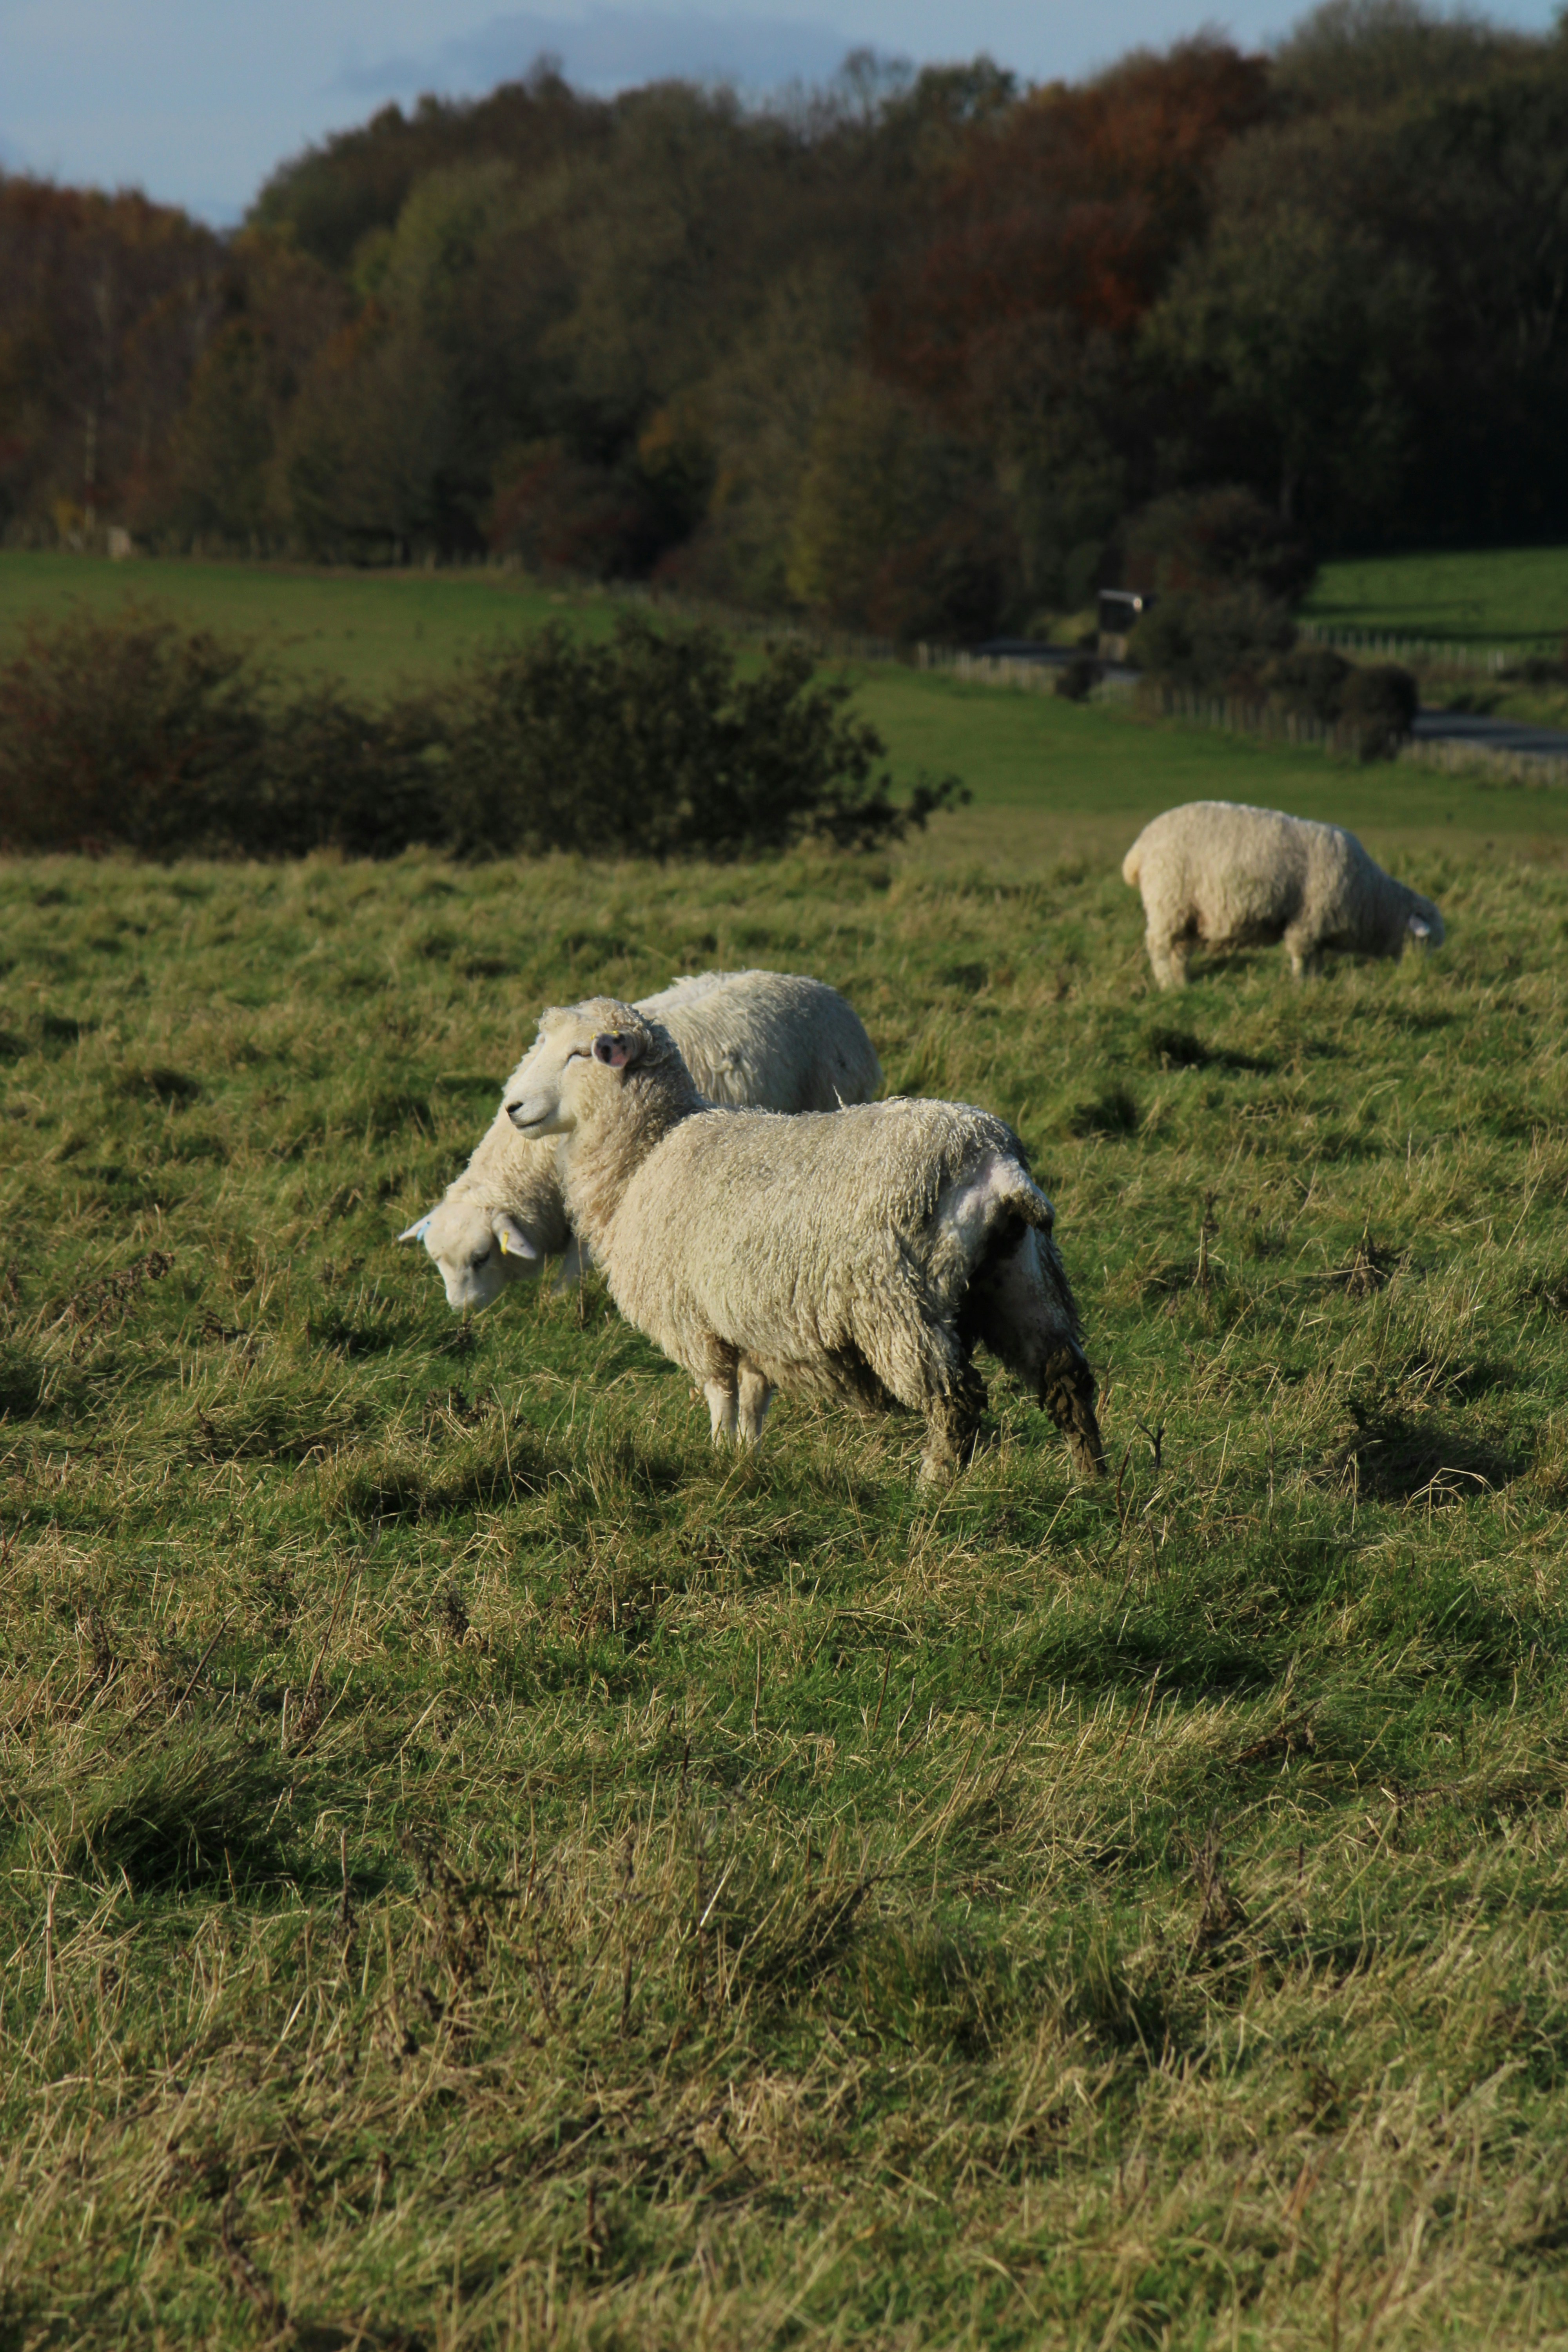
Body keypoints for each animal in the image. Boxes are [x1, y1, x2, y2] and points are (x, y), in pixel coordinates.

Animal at [401, 969, 882, 1311]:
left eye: (482, 1257)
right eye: (438, 1262)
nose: (462, 1311)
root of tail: (821, 988)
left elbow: (580, 1257)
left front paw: (559, 1297)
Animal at [503, 997, 1106, 1485]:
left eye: (580, 1054)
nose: (512, 1109)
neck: (646, 1154)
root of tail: (992, 1157)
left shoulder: (696, 1323)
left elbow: (721, 1398)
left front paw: (717, 1456)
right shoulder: (748, 1327)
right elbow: (752, 1401)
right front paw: (745, 1460)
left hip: (900, 1305)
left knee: (954, 1401)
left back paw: (931, 1488)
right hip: (1020, 1282)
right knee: (1066, 1378)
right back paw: (1092, 1482)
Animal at [1122, 800, 1444, 990]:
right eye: (1426, 941)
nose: (1422, 975)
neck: (1371, 899)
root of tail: (1140, 847)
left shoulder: (1318, 928)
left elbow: (1316, 958)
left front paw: (1315, 984)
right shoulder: (1307, 920)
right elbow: (1301, 955)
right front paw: (1300, 984)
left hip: (1186, 912)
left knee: (1179, 949)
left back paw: (1183, 983)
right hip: (1167, 901)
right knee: (1159, 946)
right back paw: (1167, 985)